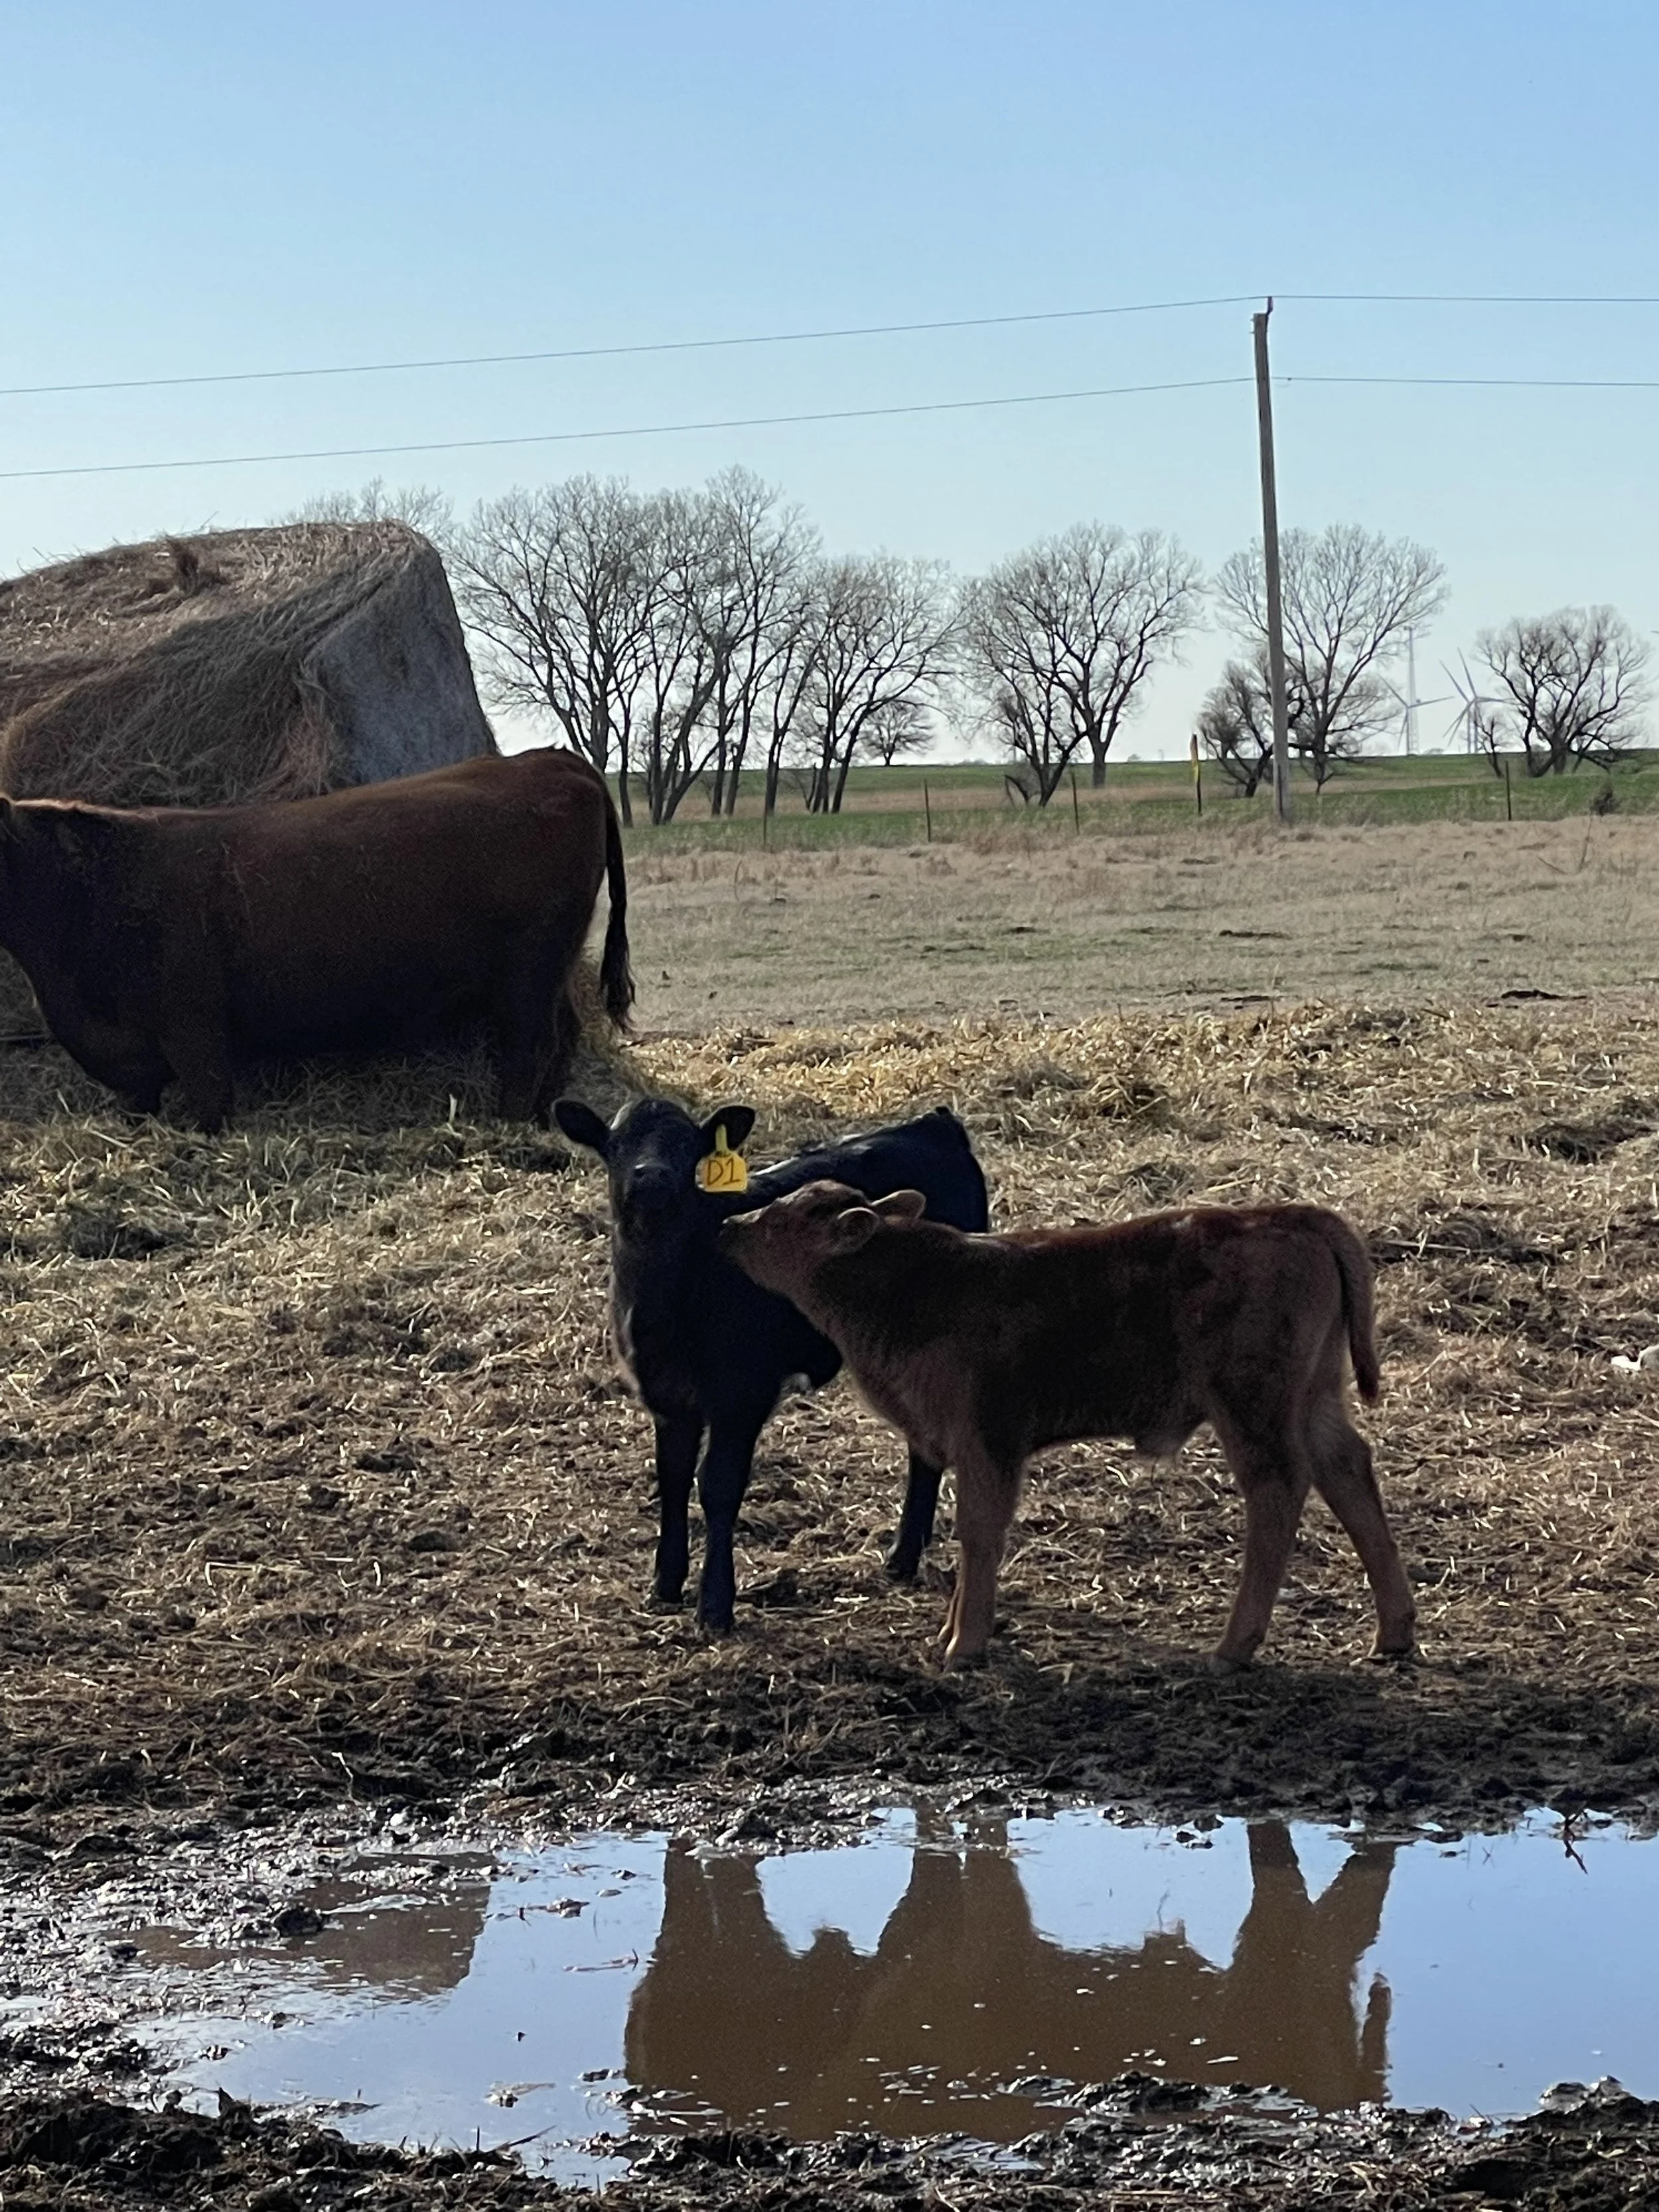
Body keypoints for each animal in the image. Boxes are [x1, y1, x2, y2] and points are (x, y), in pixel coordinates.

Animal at [0, 747, 631, 1129]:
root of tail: (552, 760)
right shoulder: (128, 1063)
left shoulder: (195, 1033)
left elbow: (212, 1110)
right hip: (549, 971)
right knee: (565, 1035)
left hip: (526, 974)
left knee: (531, 1049)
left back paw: (509, 1125)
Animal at [552, 1097, 990, 1631]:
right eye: (617, 1144)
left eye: (689, 1148)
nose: (652, 1175)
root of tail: (935, 1123)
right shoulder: (667, 1397)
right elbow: (672, 1479)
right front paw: (665, 1585)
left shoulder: (741, 1395)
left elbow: (718, 1485)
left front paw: (715, 1605)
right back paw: (904, 1557)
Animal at [719, 1185, 1415, 1671]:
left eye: (780, 1218)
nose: (729, 1226)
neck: (913, 1287)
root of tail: (1282, 1214)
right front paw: (951, 1630)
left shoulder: (987, 1440)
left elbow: (978, 1532)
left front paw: (964, 1642)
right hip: (1314, 1397)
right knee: (1347, 1470)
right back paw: (1394, 1632)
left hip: (1252, 1406)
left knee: (1277, 1491)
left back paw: (1234, 1646)